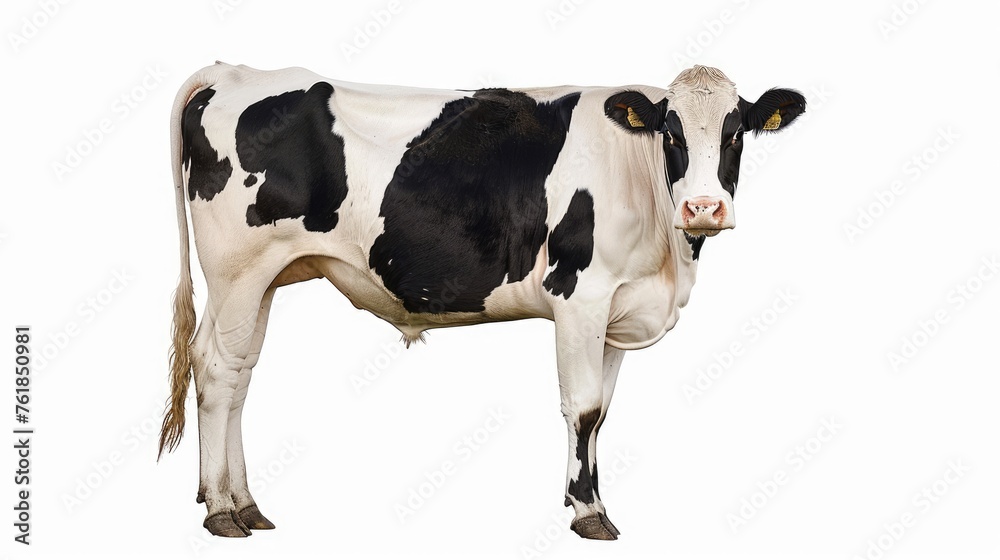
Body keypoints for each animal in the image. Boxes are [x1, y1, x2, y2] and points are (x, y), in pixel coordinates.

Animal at [158, 62, 805, 540]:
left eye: (735, 132)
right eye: (671, 132)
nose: (704, 208)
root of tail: (233, 72)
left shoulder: (619, 306)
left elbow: (602, 414)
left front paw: (586, 500)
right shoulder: (580, 297)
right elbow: (583, 409)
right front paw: (588, 514)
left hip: (261, 280)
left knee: (236, 376)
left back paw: (244, 502)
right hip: (239, 272)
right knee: (216, 371)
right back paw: (221, 512)